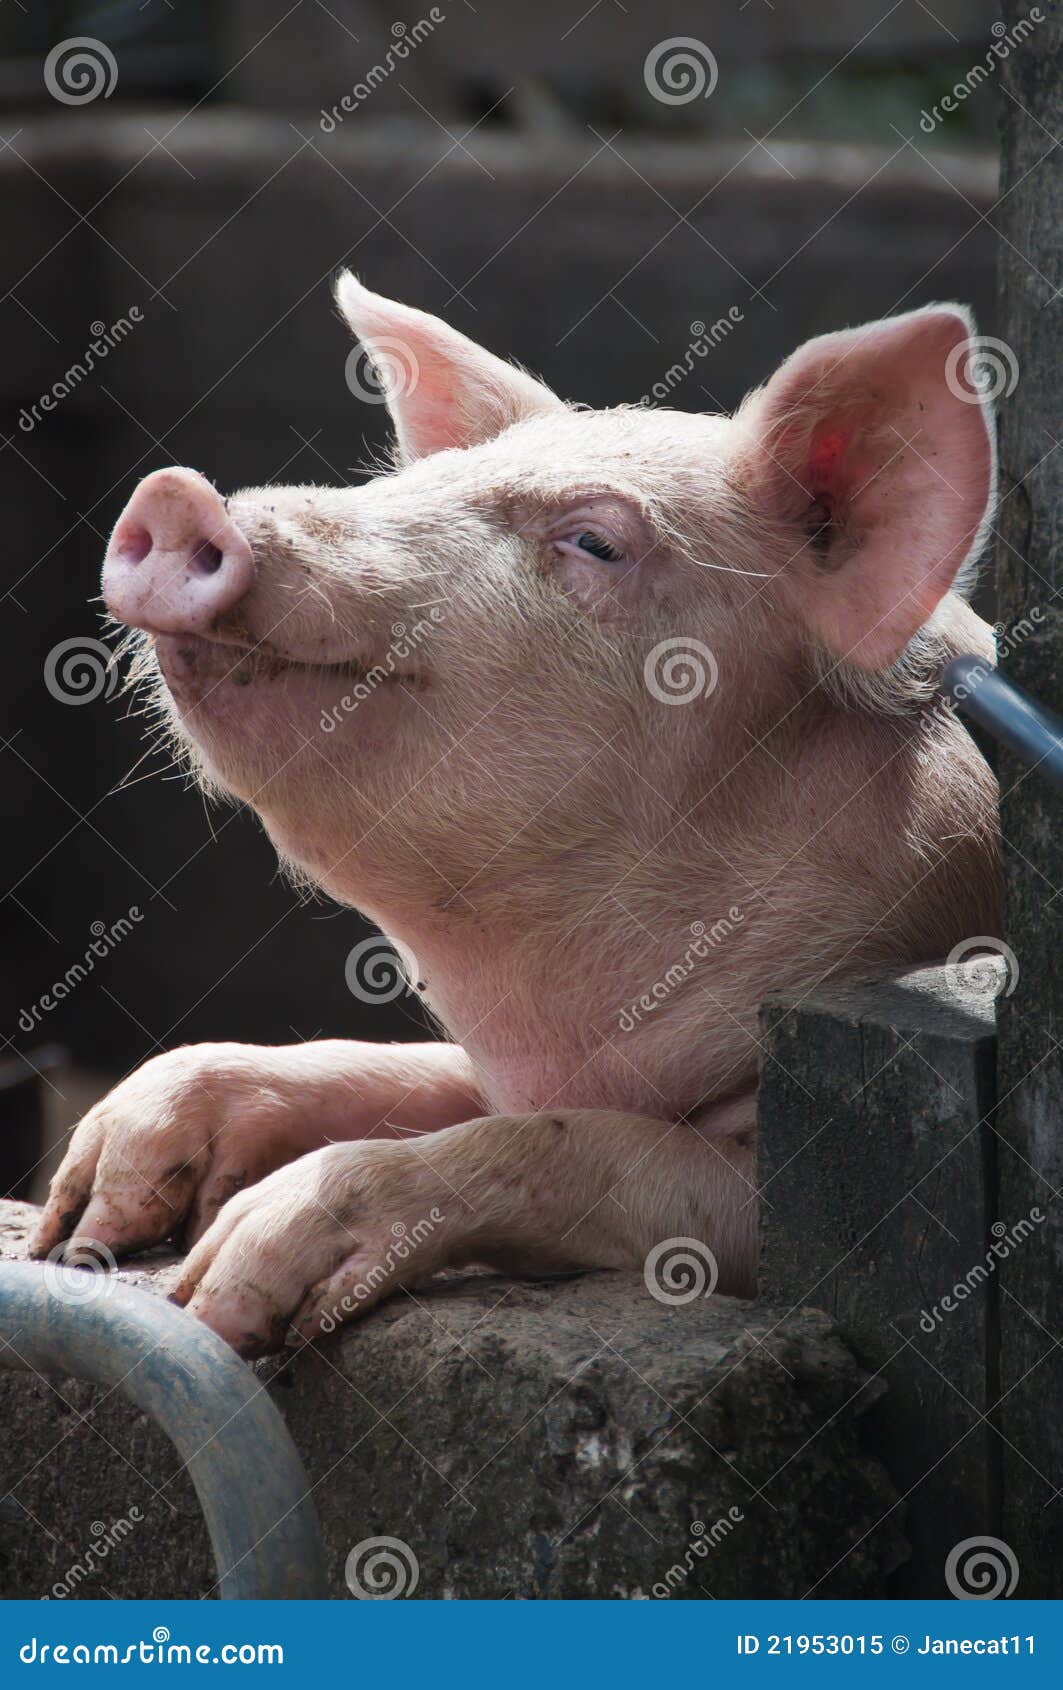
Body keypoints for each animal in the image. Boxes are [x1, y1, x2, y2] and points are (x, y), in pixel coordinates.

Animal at [29, 276, 1000, 1356]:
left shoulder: (782, 1216)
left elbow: (583, 1149)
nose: (177, 494)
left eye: (596, 542)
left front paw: (211, 1294)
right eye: (429, 477)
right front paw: (81, 1227)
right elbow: (400, 1073)